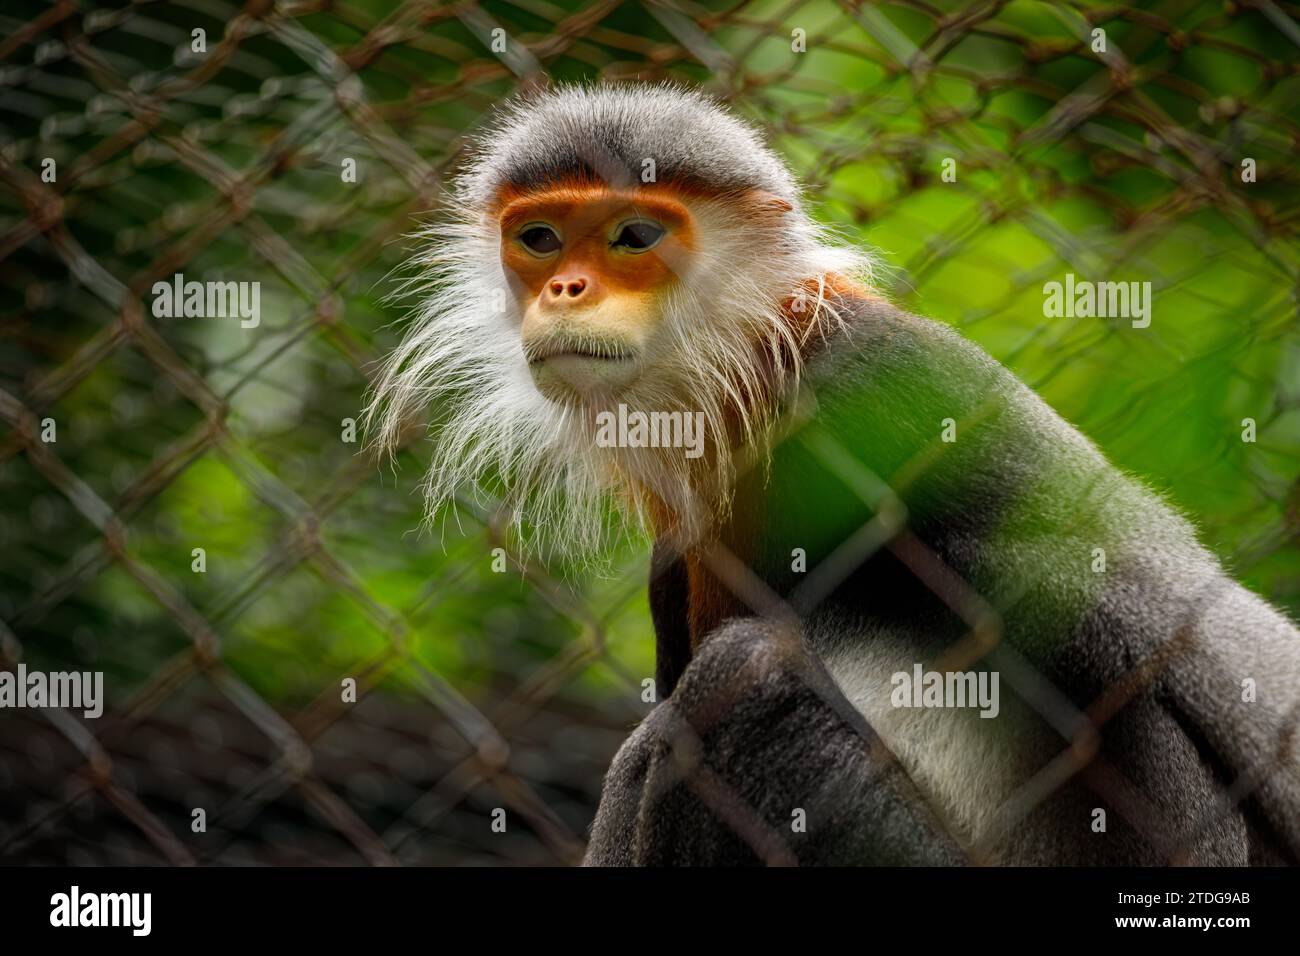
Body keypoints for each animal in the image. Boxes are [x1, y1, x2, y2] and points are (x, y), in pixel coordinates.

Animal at [366, 83, 1300, 866]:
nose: (564, 288)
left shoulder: (894, 390)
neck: (753, 377)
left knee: (744, 674)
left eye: (634, 237)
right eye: (541, 239)